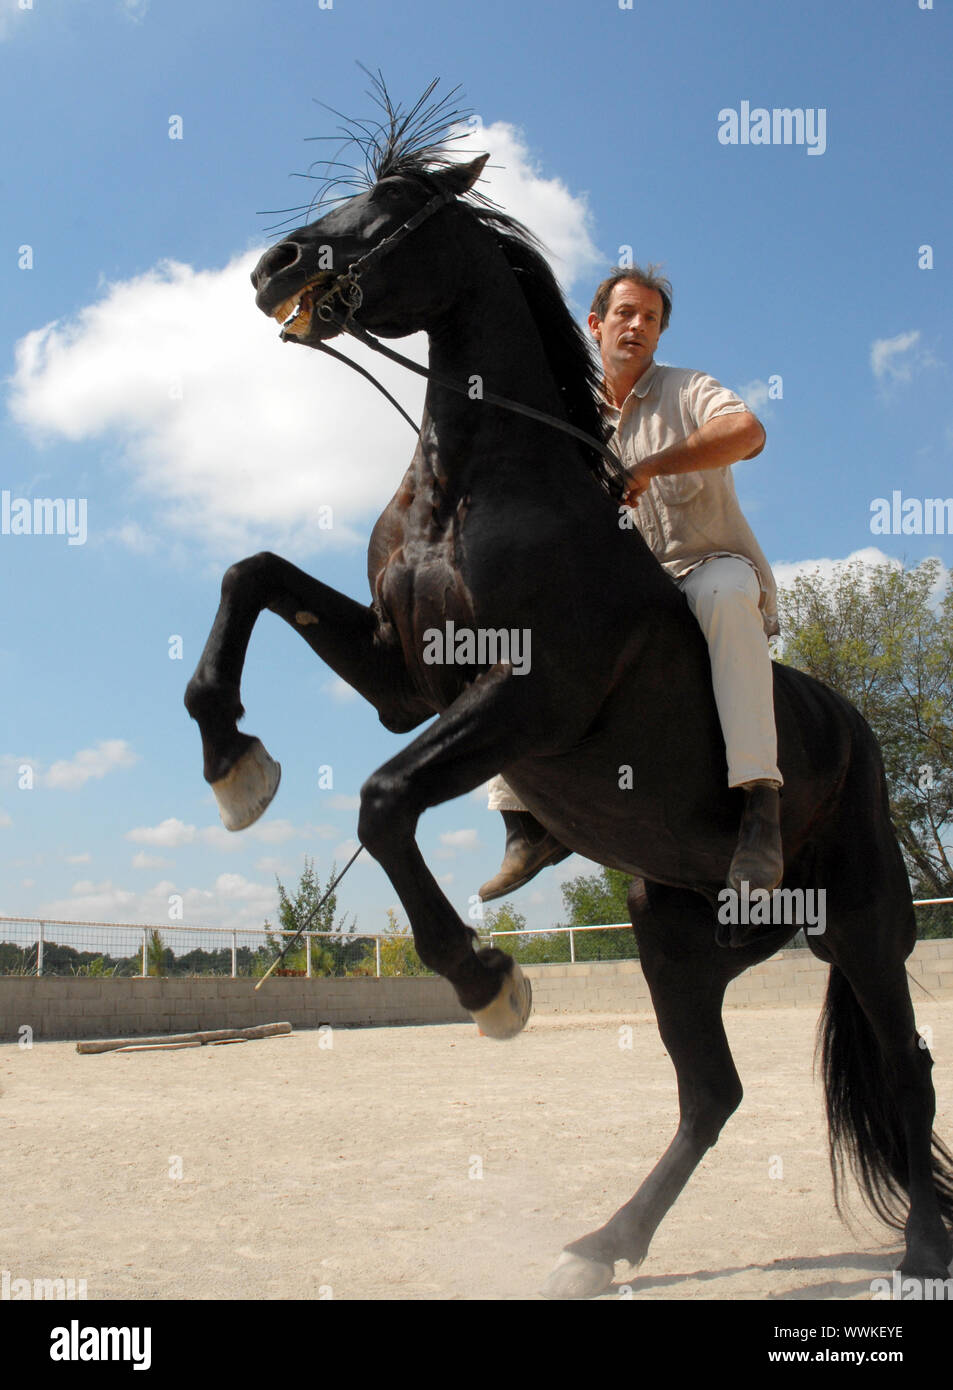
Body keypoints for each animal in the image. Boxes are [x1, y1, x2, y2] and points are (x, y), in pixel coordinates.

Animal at [184, 84, 953, 1298]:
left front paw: (485, 980)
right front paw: (233, 765)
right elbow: (249, 575)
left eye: (397, 205)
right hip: (675, 933)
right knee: (712, 1093)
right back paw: (601, 1246)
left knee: (906, 1073)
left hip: (866, 927)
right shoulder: (410, 681)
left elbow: (382, 800)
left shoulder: (530, 695)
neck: (475, 484)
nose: (276, 264)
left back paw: (920, 1248)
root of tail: (849, 729)